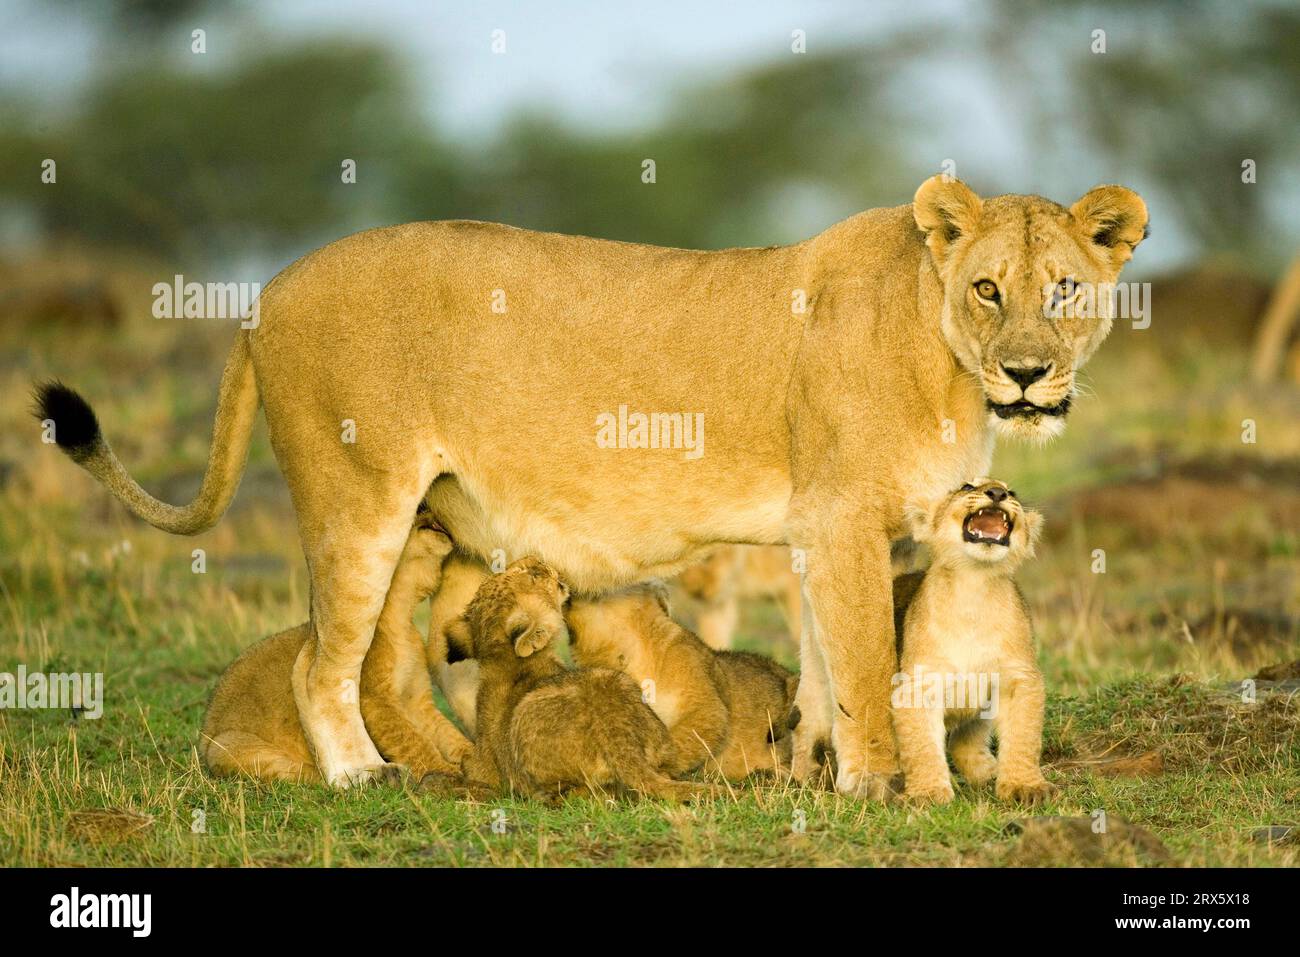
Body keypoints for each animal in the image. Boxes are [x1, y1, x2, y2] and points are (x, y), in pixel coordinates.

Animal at [201, 514, 471, 782]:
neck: (401, 615)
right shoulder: (374, 700)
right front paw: (448, 774)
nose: (427, 508)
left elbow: (444, 732)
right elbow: (412, 741)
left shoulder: (416, 700)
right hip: (229, 746)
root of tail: (204, 735)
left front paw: (472, 756)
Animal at [891, 479, 1053, 805]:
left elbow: (1024, 737)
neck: (973, 584)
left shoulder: (1018, 677)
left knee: (964, 742)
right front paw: (927, 793)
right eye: (967, 486)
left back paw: (986, 771)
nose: (998, 493)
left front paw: (1025, 787)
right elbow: (920, 746)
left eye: (1012, 493)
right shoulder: (918, 682)